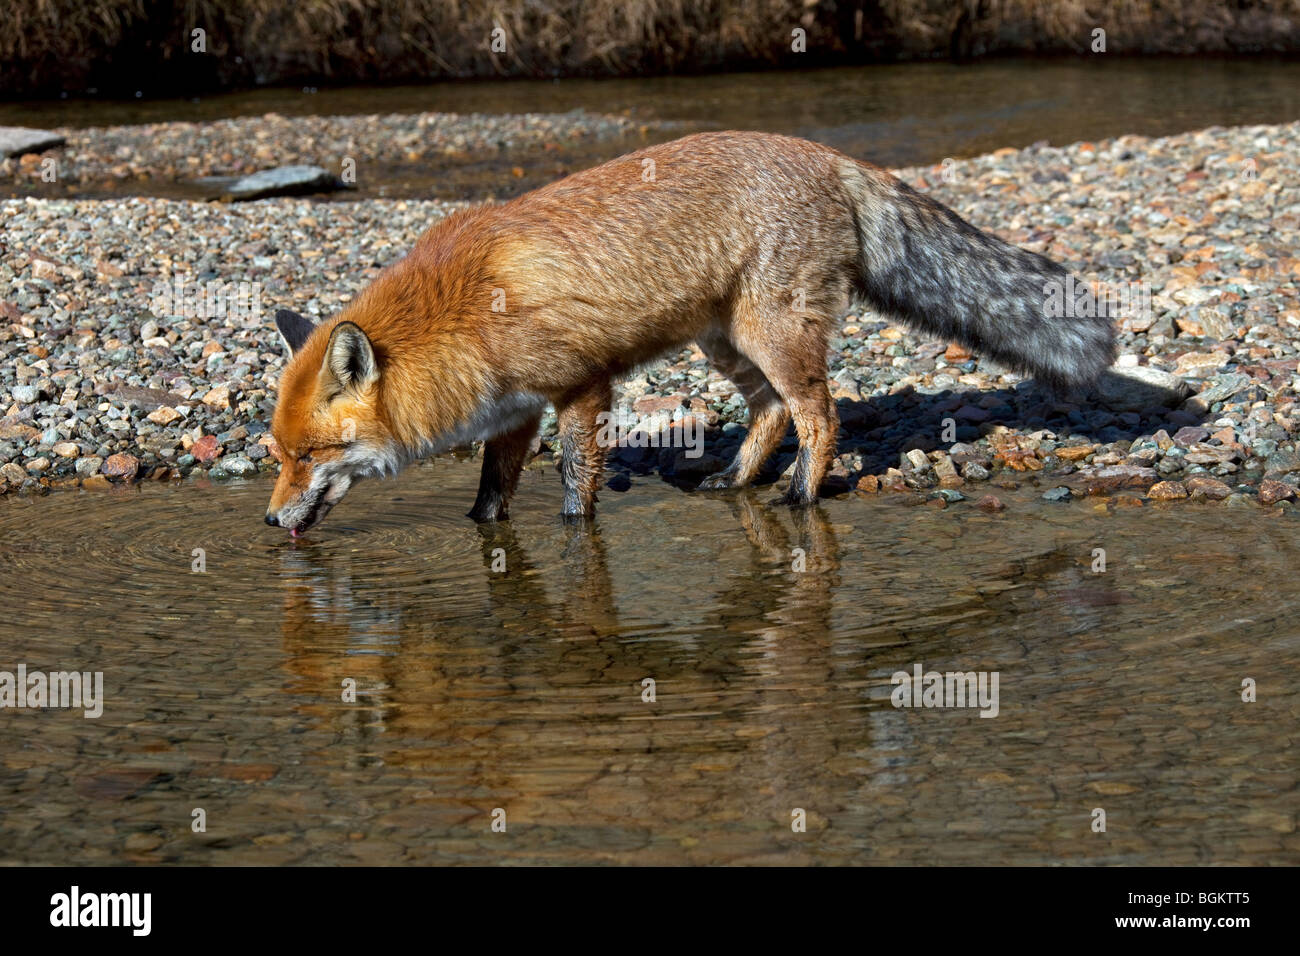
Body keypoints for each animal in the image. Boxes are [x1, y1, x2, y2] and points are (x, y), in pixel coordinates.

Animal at [264, 130, 1115, 536]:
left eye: (310, 456)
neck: (465, 310)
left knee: (819, 414)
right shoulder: (514, 411)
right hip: (724, 342)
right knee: (771, 413)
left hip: (772, 334)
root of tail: (834, 156)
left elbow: (575, 486)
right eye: (277, 456)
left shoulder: (582, 387)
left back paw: (800, 494)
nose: (269, 520)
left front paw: (574, 535)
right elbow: (489, 498)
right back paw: (734, 480)